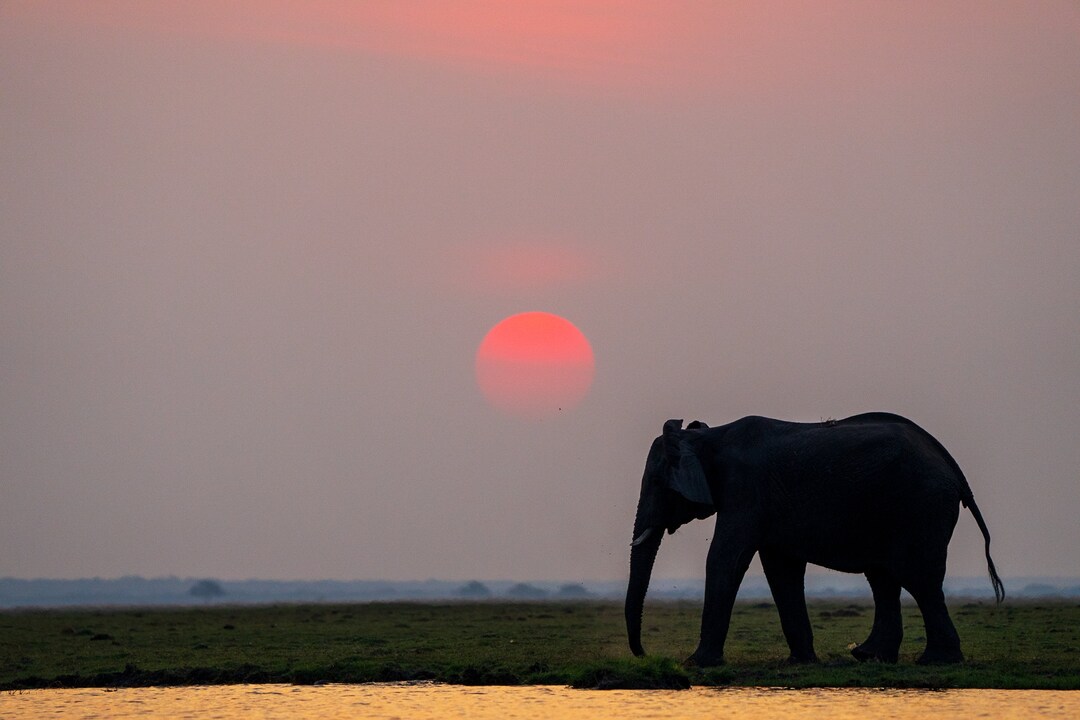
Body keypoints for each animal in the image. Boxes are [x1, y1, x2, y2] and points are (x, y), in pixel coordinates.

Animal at [625, 412, 1004, 666]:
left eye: (657, 481)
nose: (644, 655)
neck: (707, 438)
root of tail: (953, 470)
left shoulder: (745, 490)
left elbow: (726, 558)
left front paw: (697, 663)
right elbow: (781, 569)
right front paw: (801, 662)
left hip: (919, 507)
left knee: (917, 578)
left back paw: (936, 660)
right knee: (884, 578)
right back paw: (870, 656)